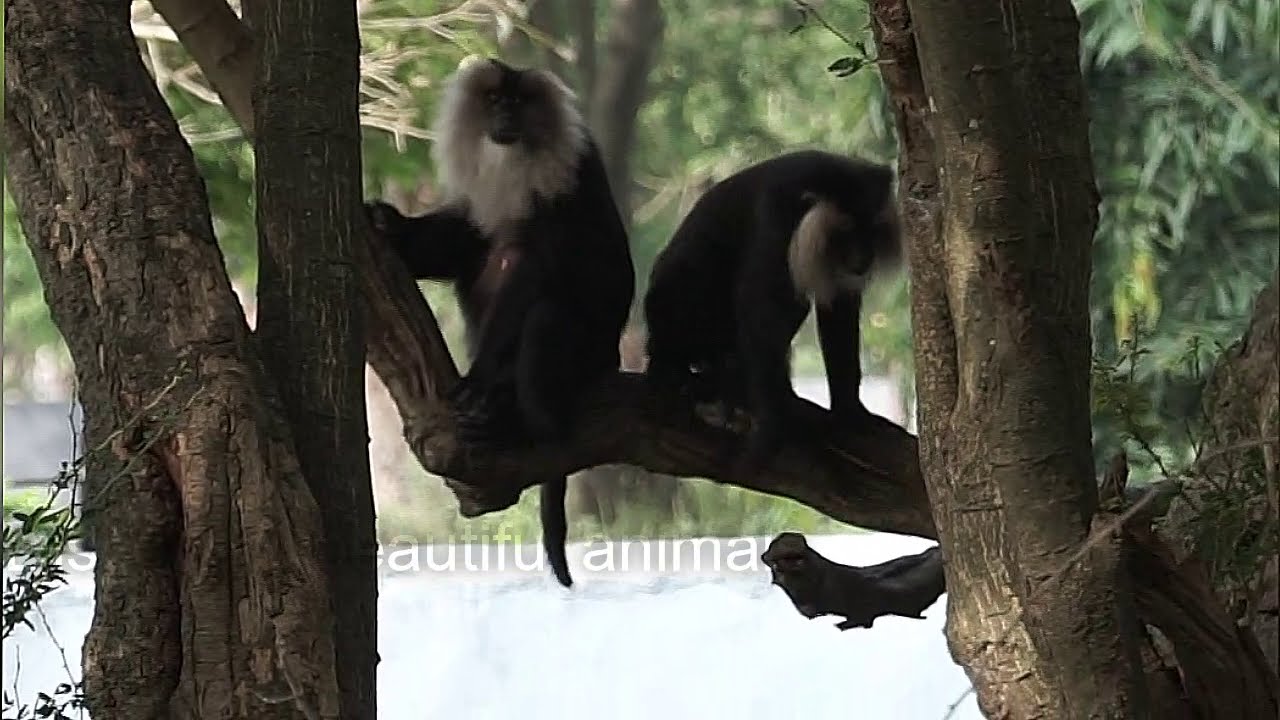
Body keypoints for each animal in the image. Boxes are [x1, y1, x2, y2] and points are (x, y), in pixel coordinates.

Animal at [364, 57, 635, 587]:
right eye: (493, 101)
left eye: (519, 101)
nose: (505, 117)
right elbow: (460, 240)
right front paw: (393, 225)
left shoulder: (565, 179)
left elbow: (536, 268)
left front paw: (481, 377)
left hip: (588, 356)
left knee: (546, 316)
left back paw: (516, 416)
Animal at [642, 150, 901, 473]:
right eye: (845, 231)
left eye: (873, 229)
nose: (863, 259)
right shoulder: (774, 220)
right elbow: (758, 305)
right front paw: (772, 428)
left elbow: (839, 313)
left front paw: (850, 412)